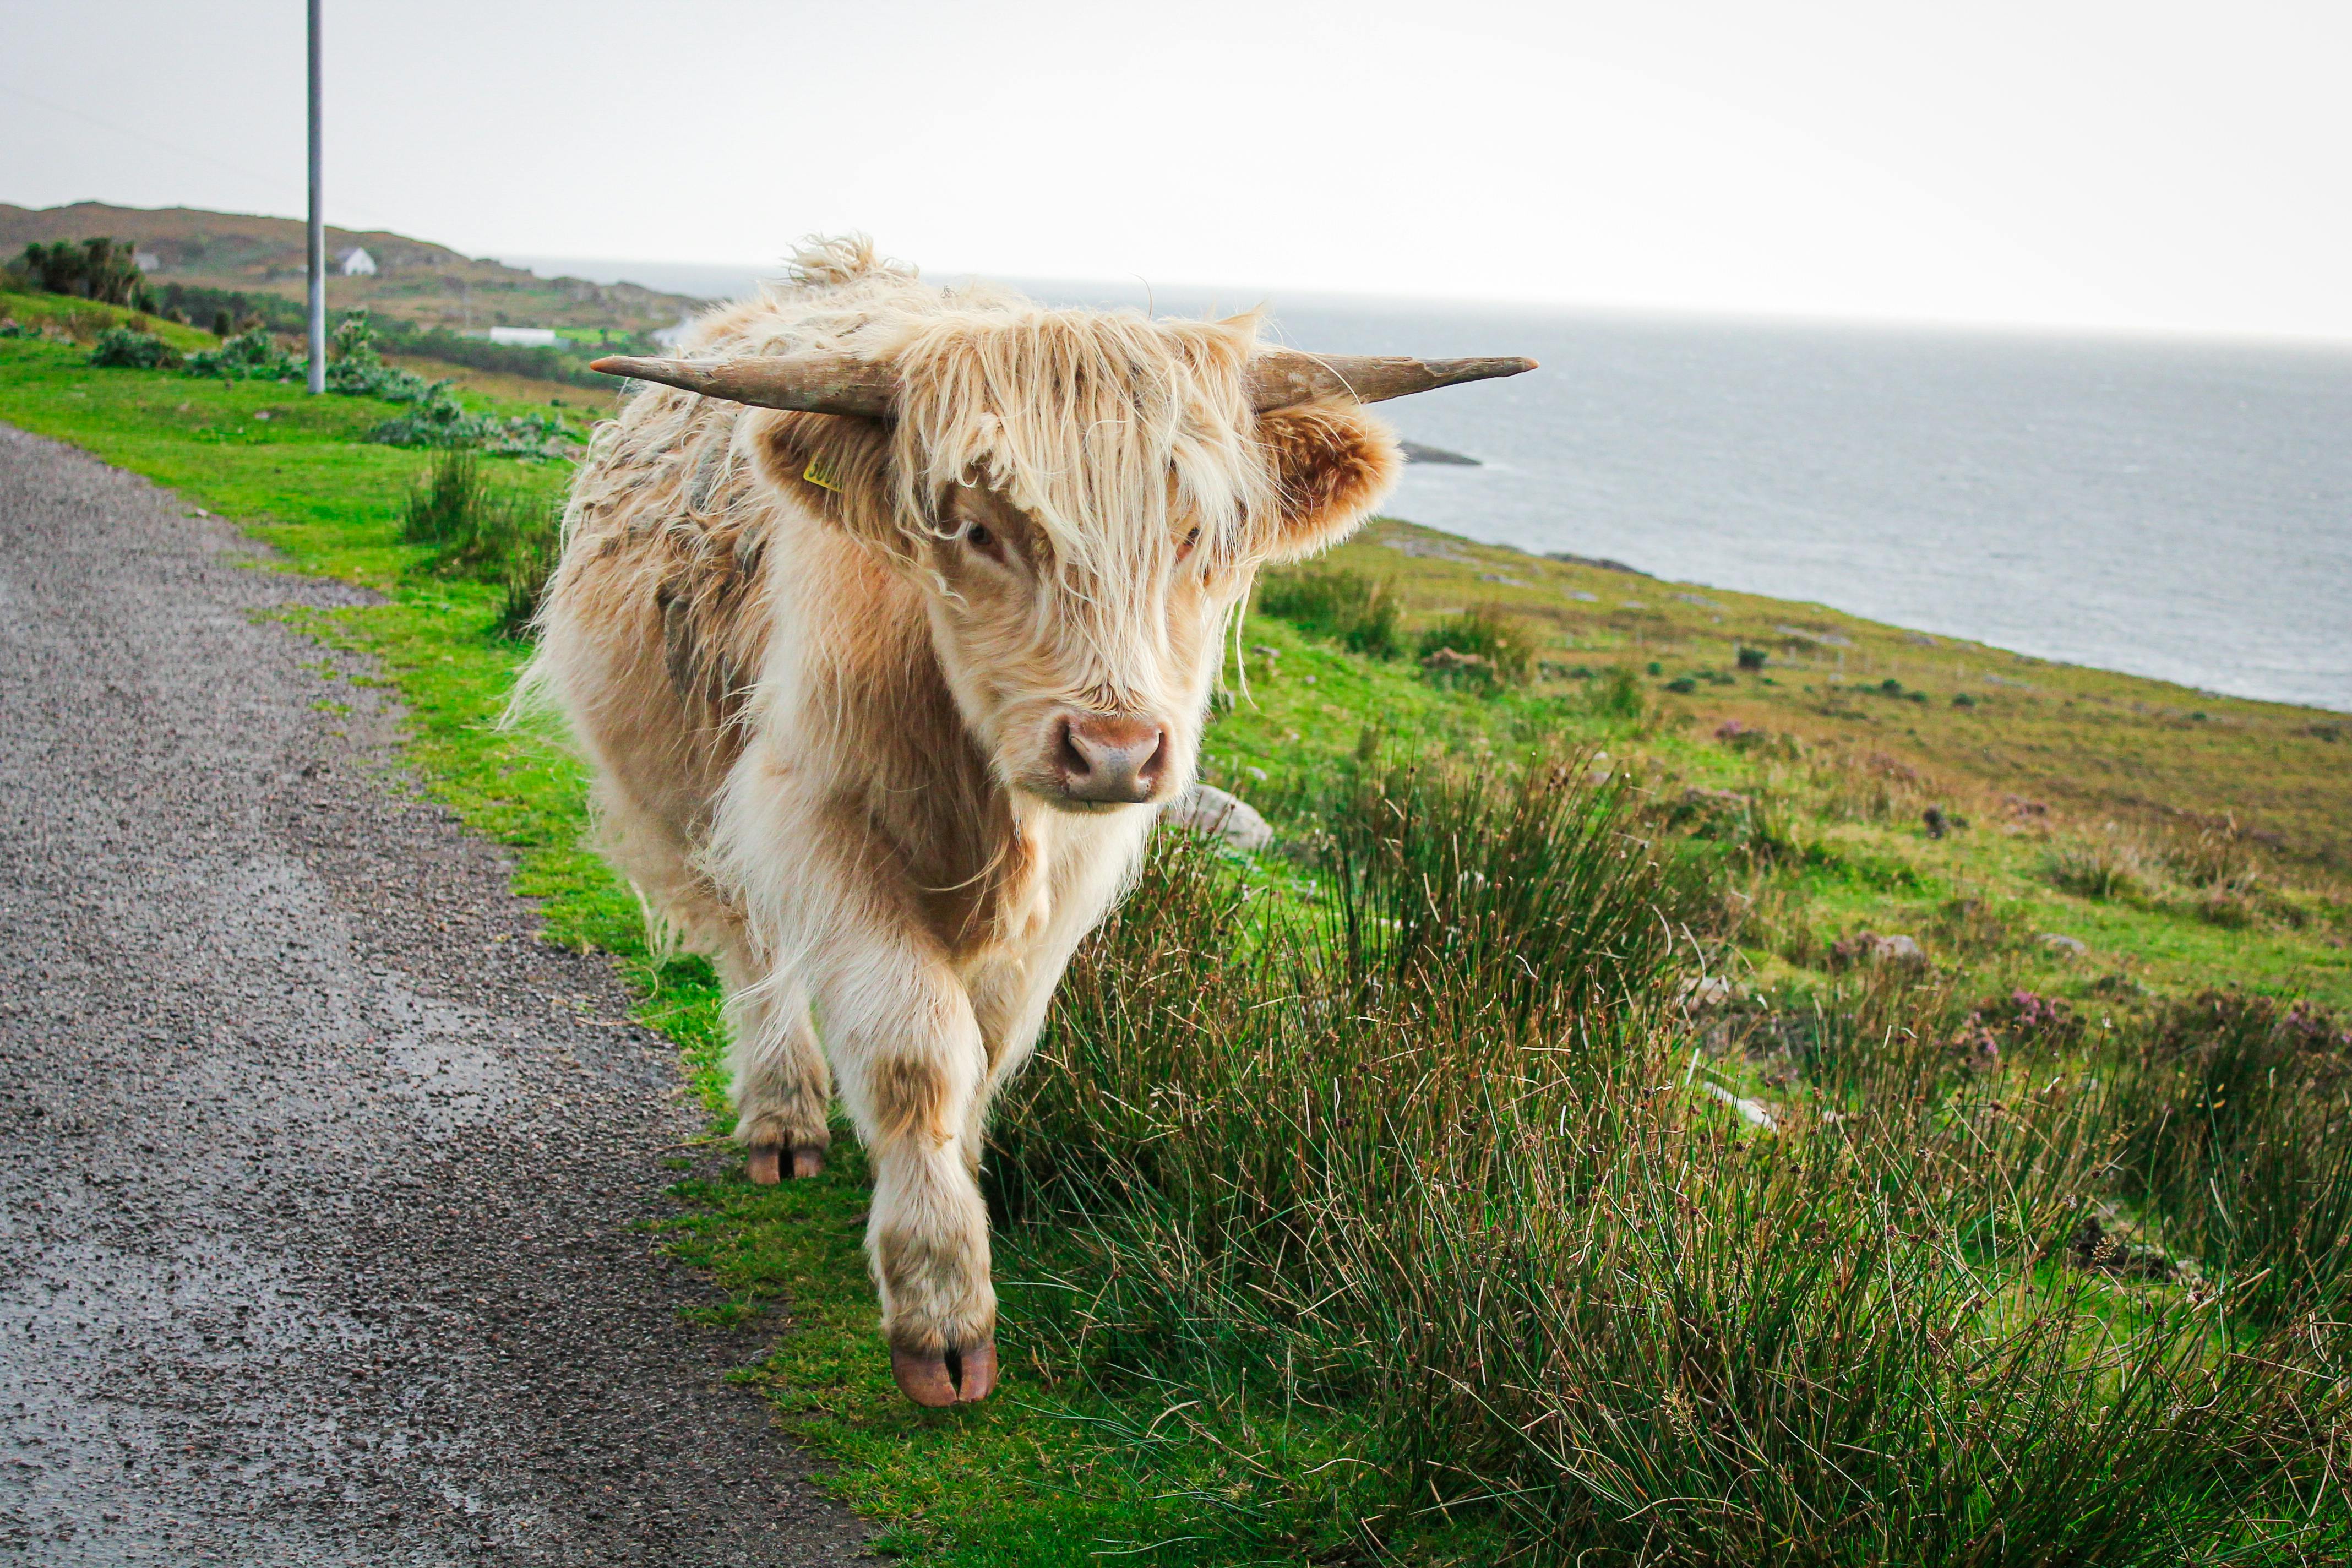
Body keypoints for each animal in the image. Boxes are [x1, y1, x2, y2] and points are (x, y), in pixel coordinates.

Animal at [522, 236, 1530, 1406]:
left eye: (1195, 534)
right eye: (974, 528)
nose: (1113, 747)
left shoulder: (1077, 871)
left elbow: (988, 1044)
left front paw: (953, 1185)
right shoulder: (815, 815)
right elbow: (914, 1051)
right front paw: (942, 1304)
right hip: (687, 801)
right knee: (753, 952)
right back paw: (782, 1119)